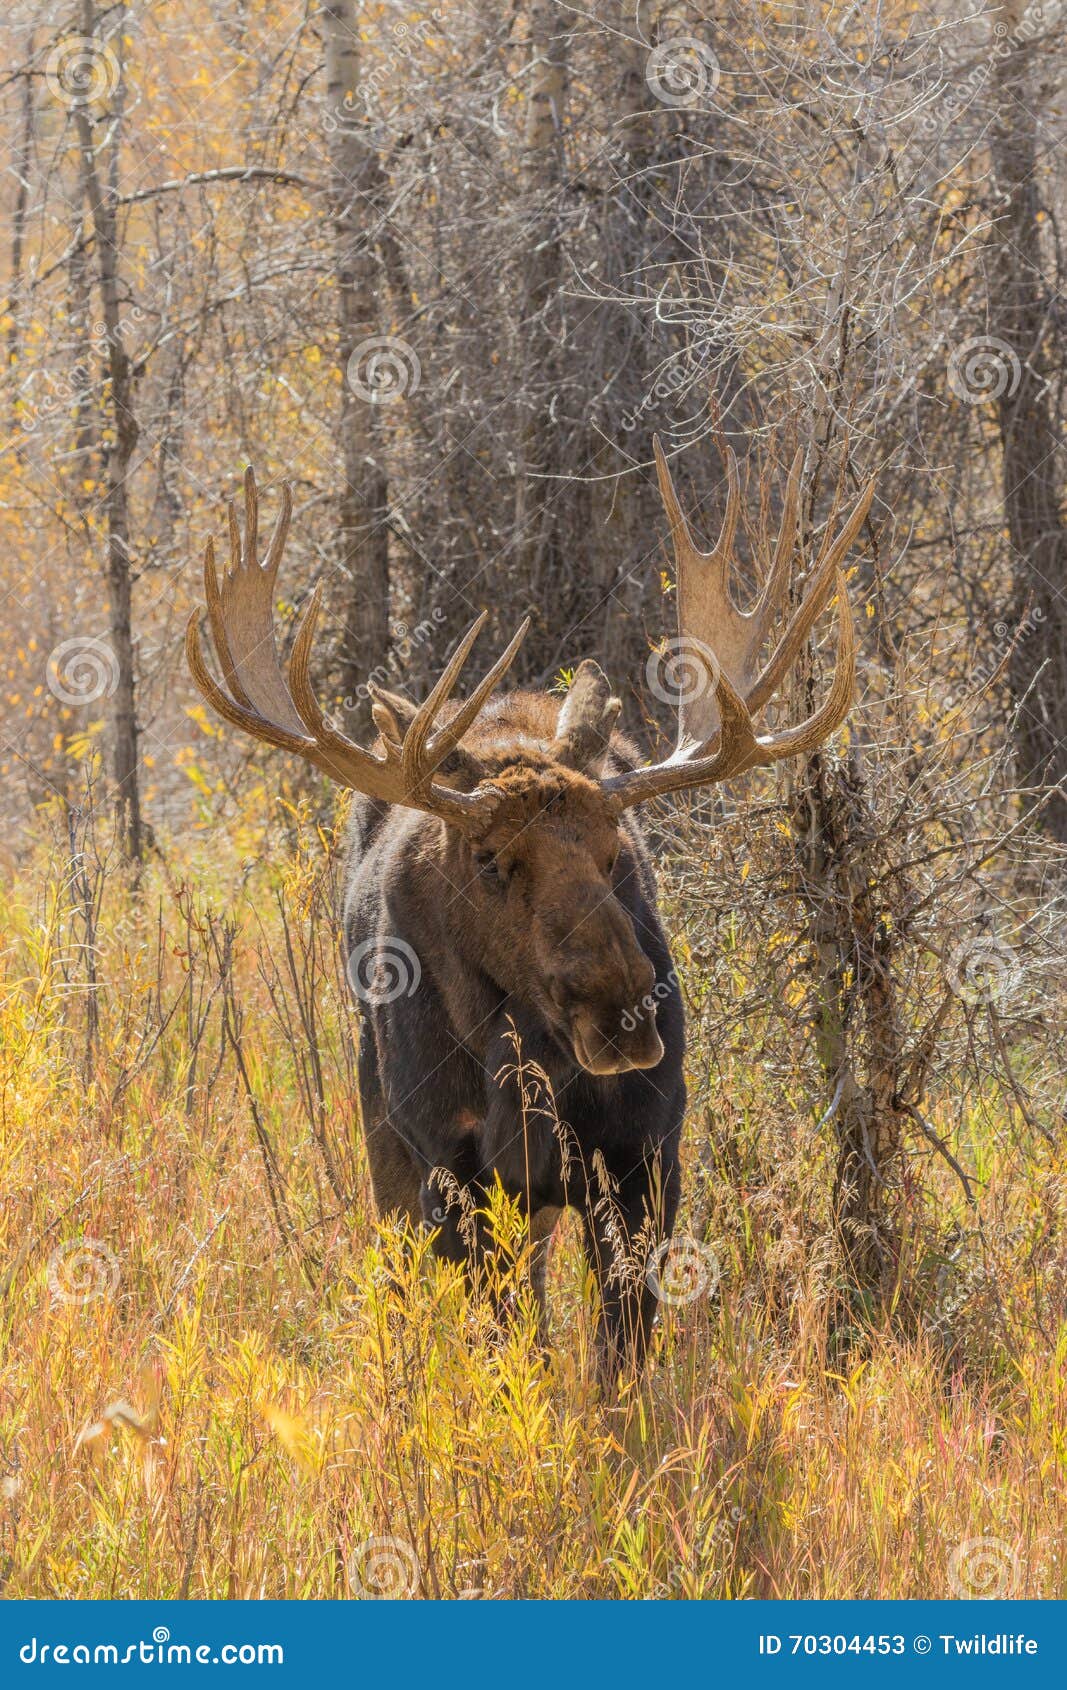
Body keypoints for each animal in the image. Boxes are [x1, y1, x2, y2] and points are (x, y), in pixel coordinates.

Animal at [186, 440, 873, 1379]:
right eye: (488, 859)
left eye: (617, 851)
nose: (622, 1014)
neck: (528, 1063)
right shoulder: (452, 1170)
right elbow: (511, 1346)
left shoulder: (644, 1153)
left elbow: (617, 1359)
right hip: (388, 1141)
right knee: (403, 1284)